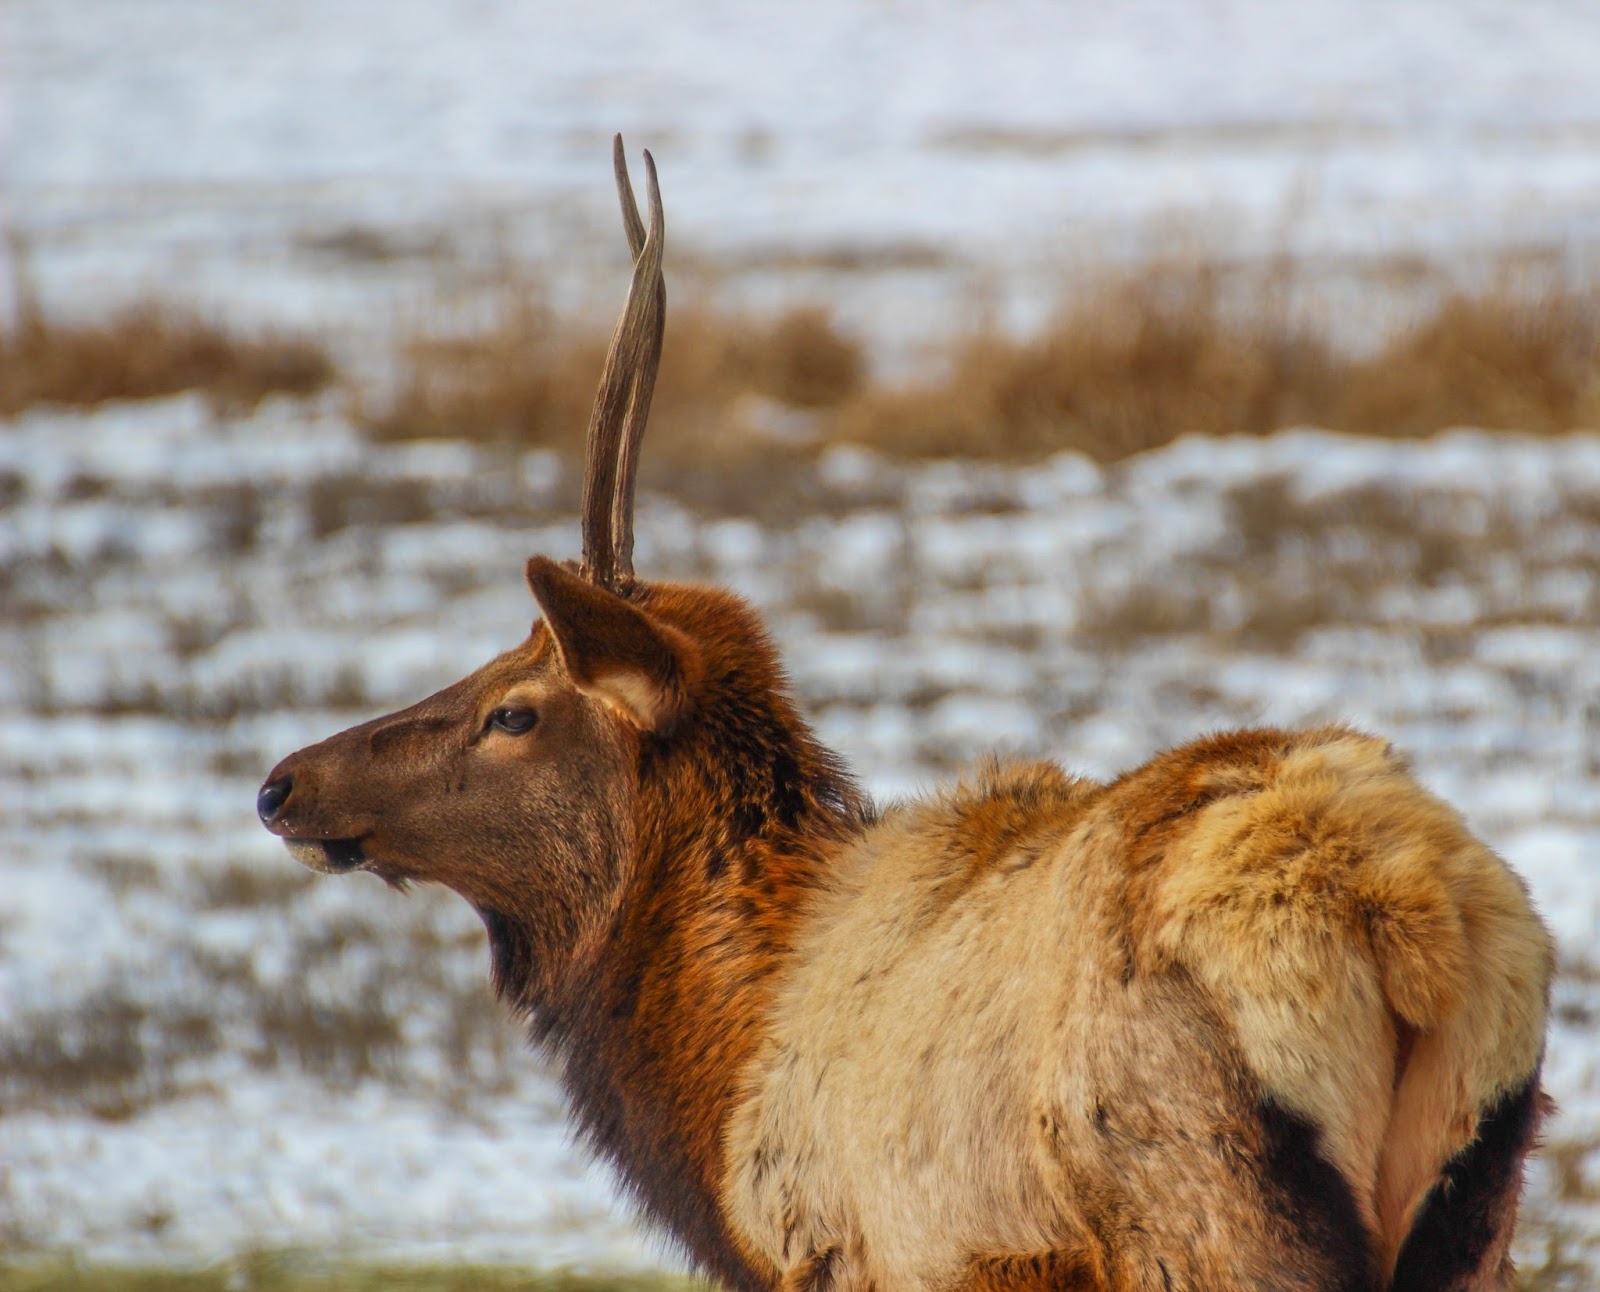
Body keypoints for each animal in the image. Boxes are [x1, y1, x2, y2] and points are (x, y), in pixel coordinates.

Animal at [257, 138, 1554, 1292]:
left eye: (516, 709)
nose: (284, 781)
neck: (724, 1046)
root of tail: (1396, 914)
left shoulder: (843, 1249)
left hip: (1204, 1201)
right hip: (1474, 1201)